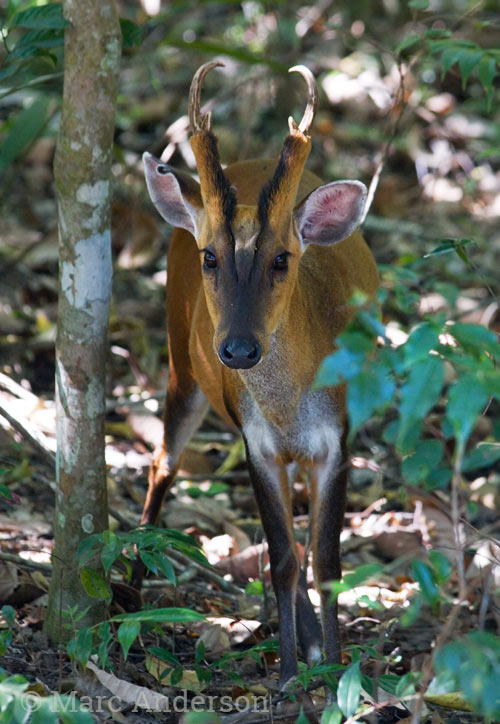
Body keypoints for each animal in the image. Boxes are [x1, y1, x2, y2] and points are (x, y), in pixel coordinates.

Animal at [139, 61, 379, 690]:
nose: (239, 349)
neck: (288, 405)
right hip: (181, 360)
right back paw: (130, 578)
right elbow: (283, 556)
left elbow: (325, 559)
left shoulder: (336, 441)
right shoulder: (258, 444)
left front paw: (334, 664)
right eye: (210, 257)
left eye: (281, 259)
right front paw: (291, 670)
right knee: (162, 461)